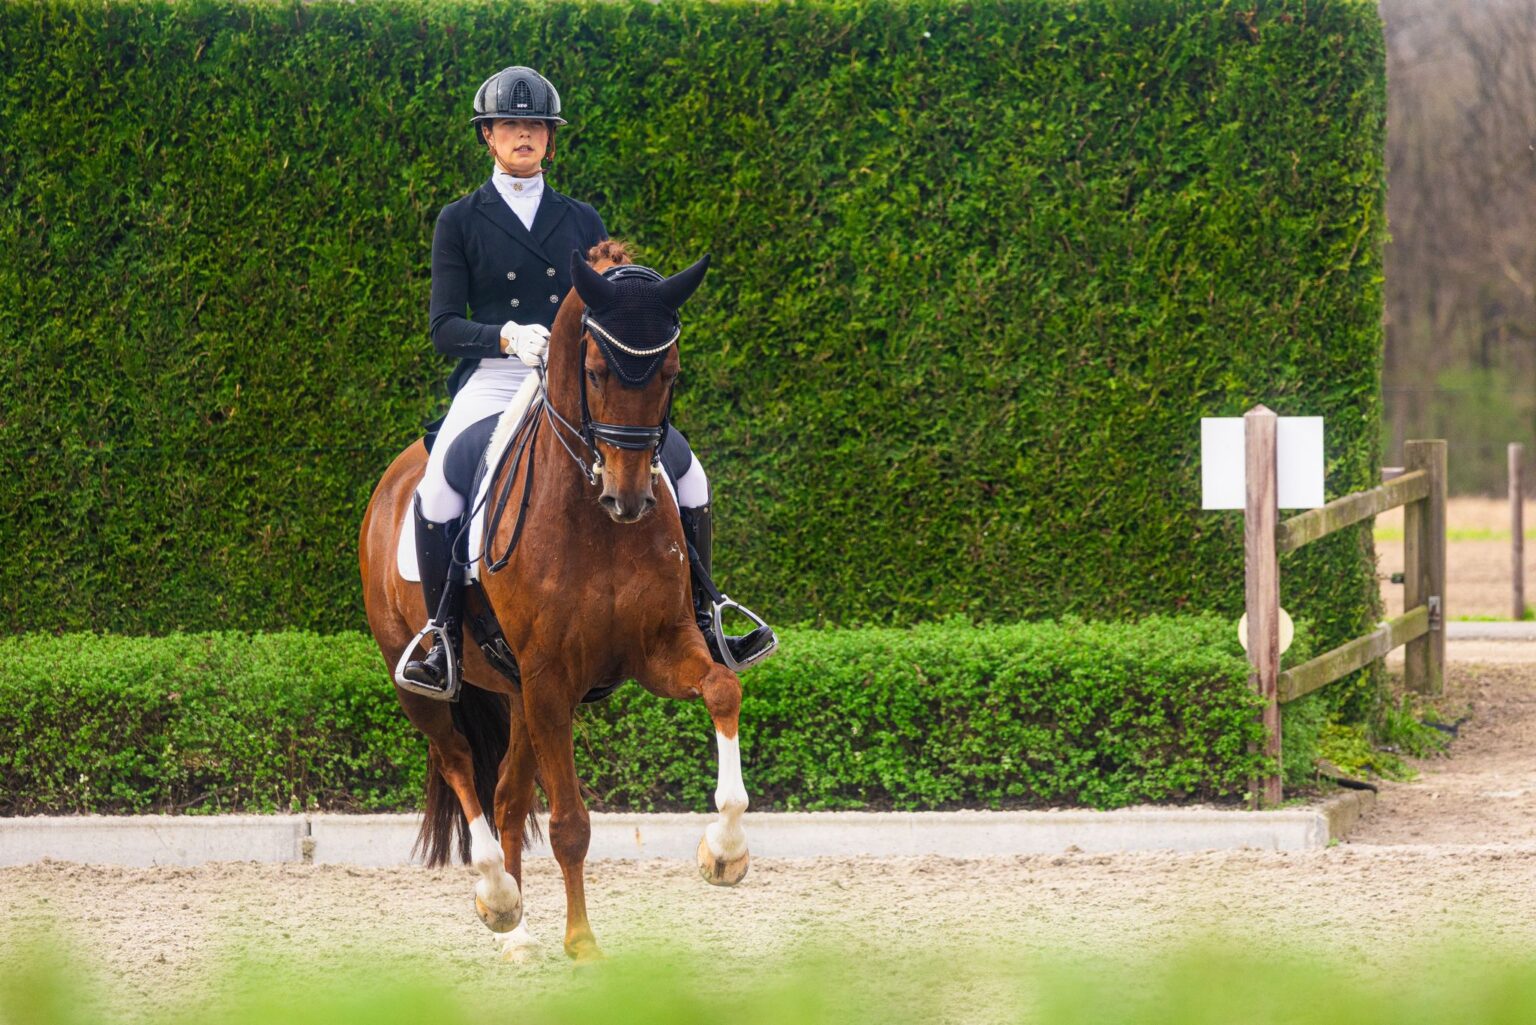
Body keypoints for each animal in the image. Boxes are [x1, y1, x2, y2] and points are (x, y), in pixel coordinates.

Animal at [358, 242, 751, 963]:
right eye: (594, 371)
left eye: (671, 374)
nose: (628, 498)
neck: (594, 521)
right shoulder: (549, 677)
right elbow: (569, 820)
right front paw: (582, 940)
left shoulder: (656, 648)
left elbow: (721, 689)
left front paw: (725, 853)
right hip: (421, 680)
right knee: (460, 764)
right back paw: (498, 898)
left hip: (515, 693)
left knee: (508, 796)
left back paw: (519, 934)